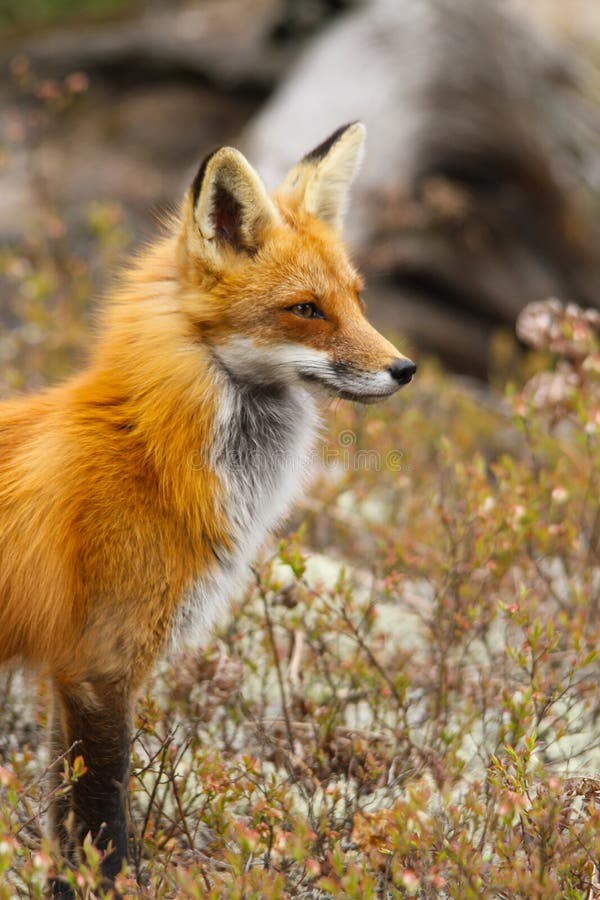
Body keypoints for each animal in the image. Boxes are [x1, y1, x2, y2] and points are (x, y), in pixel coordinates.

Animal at [0, 122, 415, 895]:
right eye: (305, 310)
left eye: (356, 299)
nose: (404, 369)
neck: (150, 453)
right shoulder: (101, 663)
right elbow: (103, 818)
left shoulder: (68, 671)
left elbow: (62, 819)